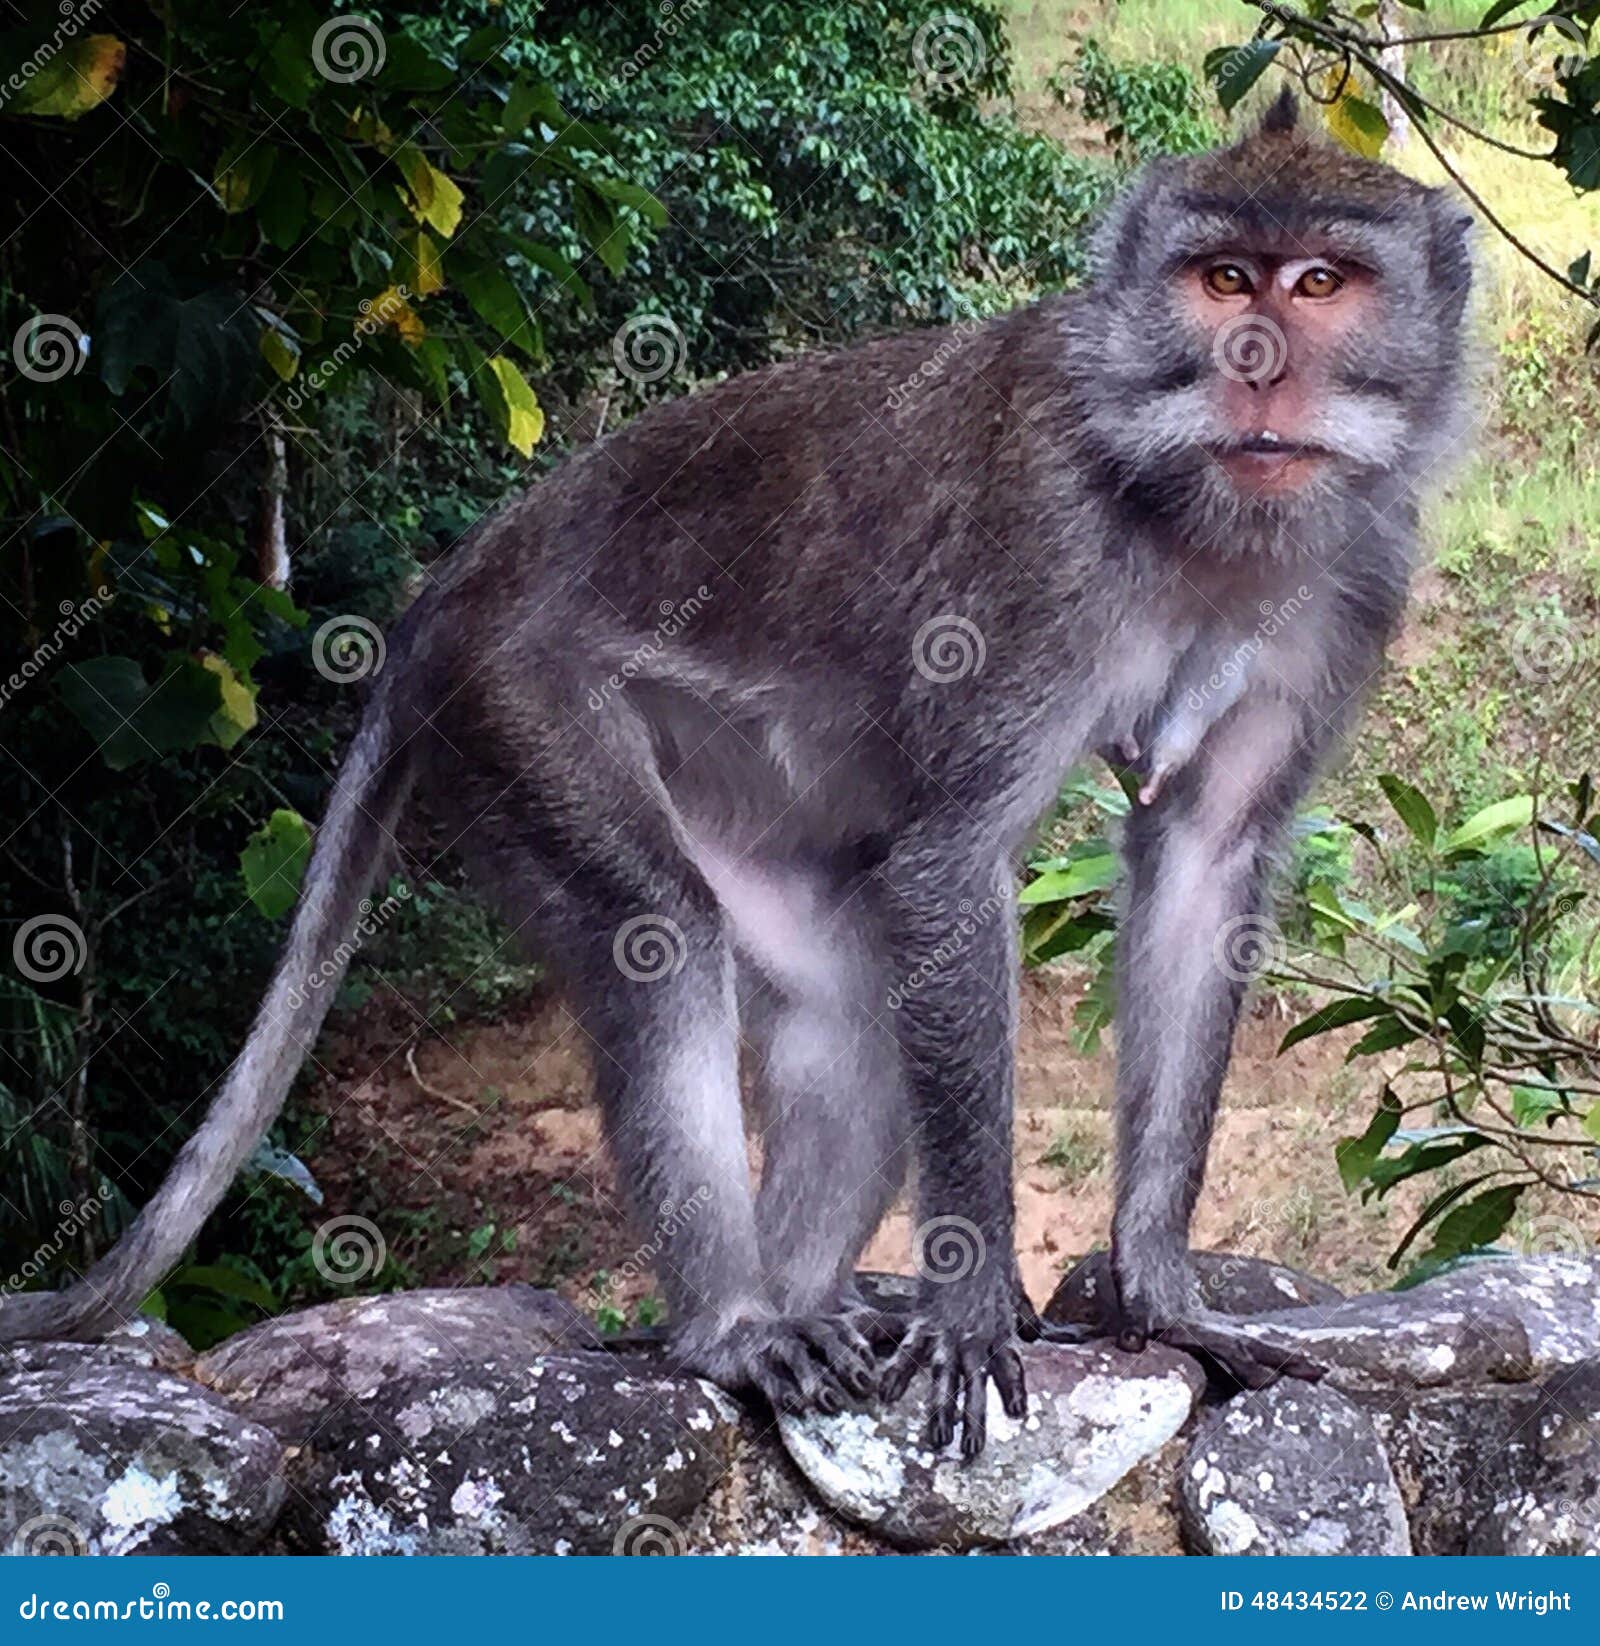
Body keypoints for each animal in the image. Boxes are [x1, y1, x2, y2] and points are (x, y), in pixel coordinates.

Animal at [1, 92, 1473, 1458]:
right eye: (1222, 278)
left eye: (1319, 284)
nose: (1255, 362)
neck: (1201, 520)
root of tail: (457, 583)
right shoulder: (1037, 546)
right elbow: (949, 858)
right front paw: (972, 1309)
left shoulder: (1356, 578)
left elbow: (1207, 860)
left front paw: (1162, 1295)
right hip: (521, 710)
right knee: (656, 926)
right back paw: (729, 1327)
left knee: (846, 1017)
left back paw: (806, 1298)